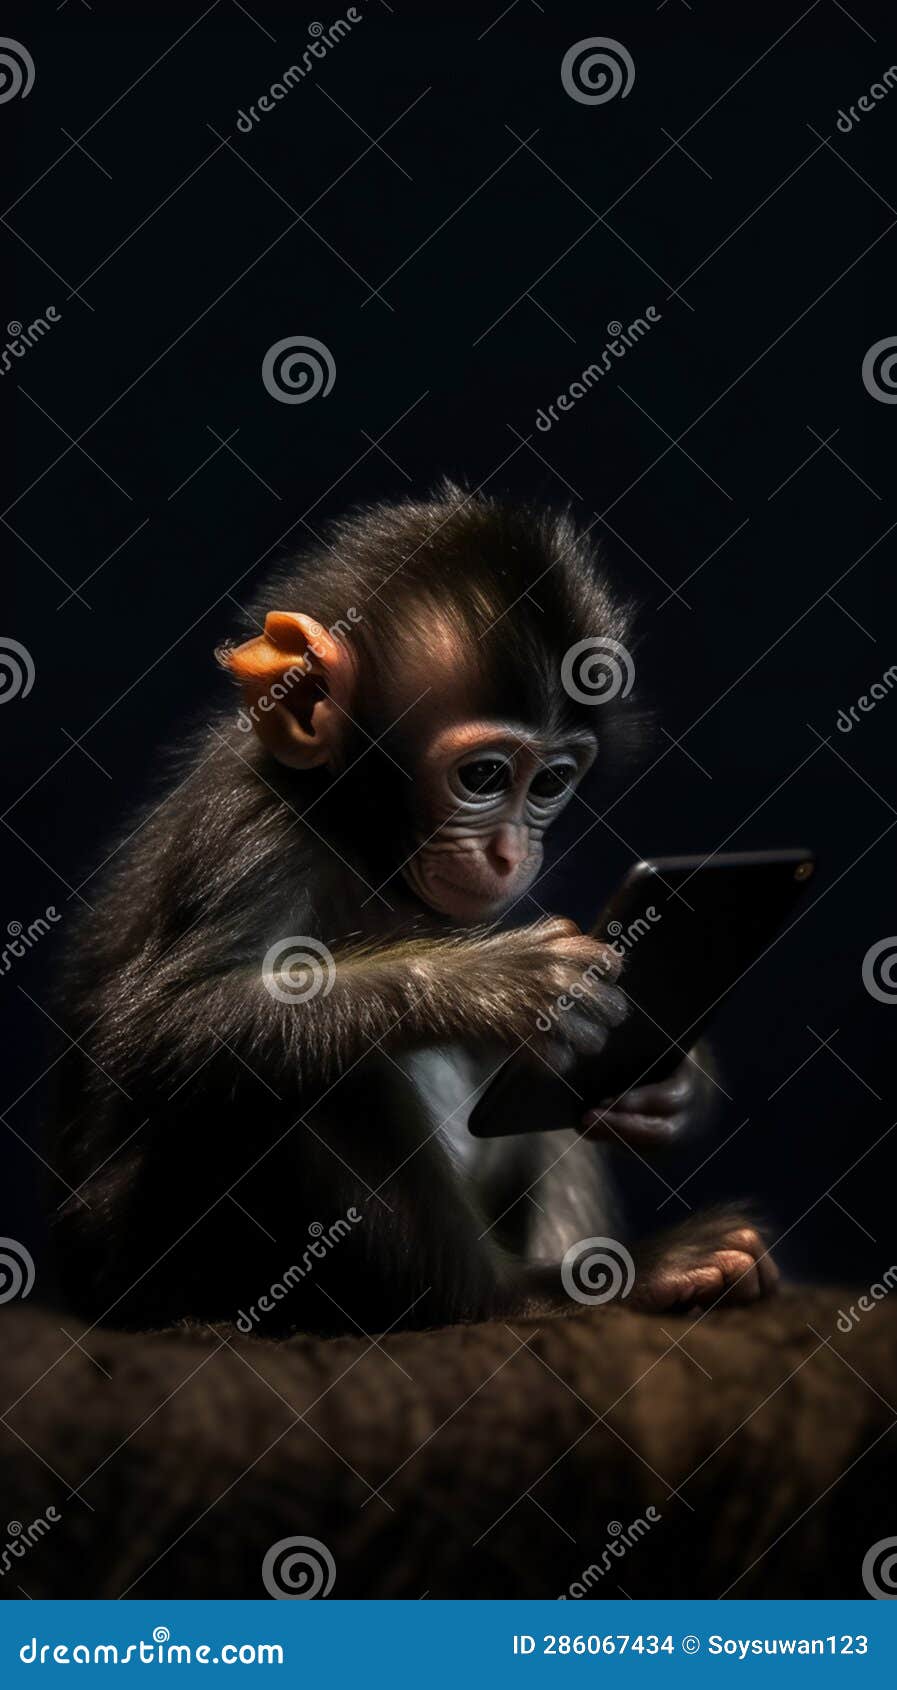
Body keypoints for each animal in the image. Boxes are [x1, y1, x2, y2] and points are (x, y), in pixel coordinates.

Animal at [49, 485, 776, 1337]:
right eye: (484, 776)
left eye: (550, 782)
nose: (509, 851)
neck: (356, 835)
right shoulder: (253, 834)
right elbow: (167, 1027)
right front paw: (495, 984)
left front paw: (672, 1086)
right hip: (157, 1272)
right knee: (315, 1074)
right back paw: (537, 1293)